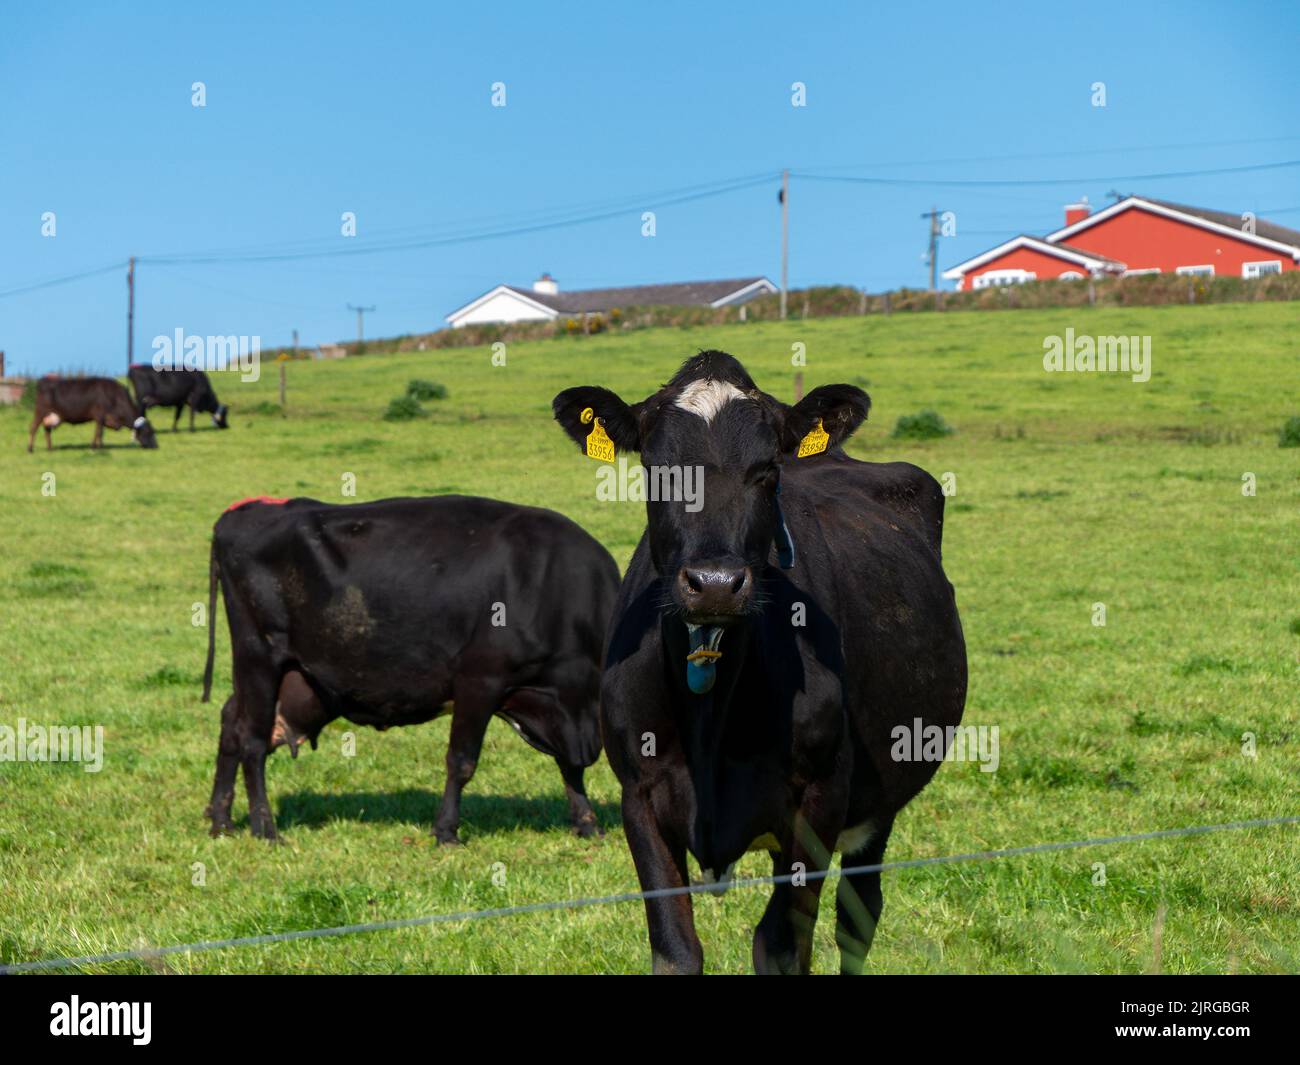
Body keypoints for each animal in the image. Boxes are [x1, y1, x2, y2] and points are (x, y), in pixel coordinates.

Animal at [27, 376, 159, 451]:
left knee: (47, 430)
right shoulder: (99, 415)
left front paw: (99, 446)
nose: (156, 446)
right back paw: (30, 449)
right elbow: (99, 432)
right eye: (148, 432)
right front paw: (96, 447)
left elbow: (101, 433)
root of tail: (44, 382)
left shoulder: (103, 418)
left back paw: (50, 449)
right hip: (40, 412)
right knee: (33, 428)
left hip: (50, 416)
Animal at [201, 494, 620, 846]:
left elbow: (570, 766)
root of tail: (243, 511)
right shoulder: (480, 680)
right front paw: (446, 831)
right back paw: (264, 828)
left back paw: (221, 820)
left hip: (286, 673)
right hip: (258, 653)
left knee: (231, 722)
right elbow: (462, 761)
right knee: (252, 741)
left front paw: (587, 823)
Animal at [552, 350, 967, 974]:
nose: (715, 583)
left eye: (768, 469)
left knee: (857, 915)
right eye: (656, 468)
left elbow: (781, 945)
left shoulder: (820, 799)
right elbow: (676, 947)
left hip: (882, 799)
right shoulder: (639, 795)